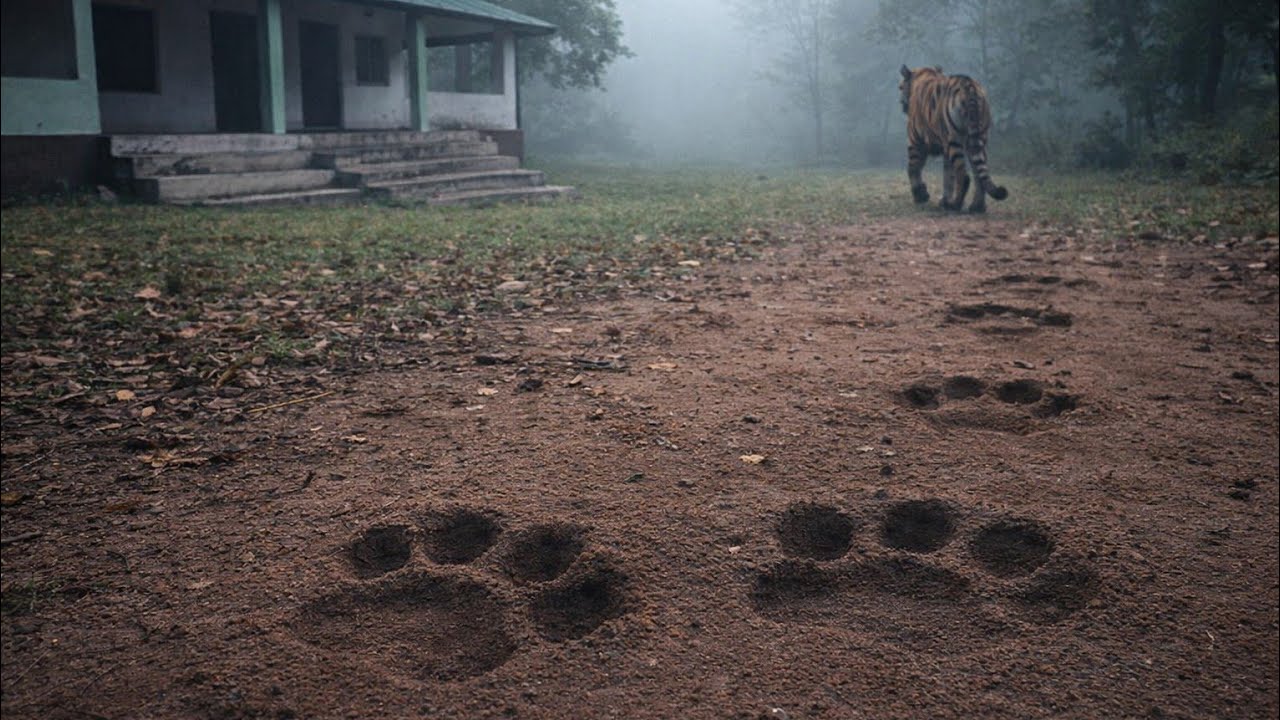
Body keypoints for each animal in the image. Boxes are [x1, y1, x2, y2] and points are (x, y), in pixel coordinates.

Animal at [898, 65, 1008, 213]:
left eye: (900, 87)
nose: (900, 103)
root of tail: (969, 85)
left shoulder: (915, 141)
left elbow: (913, 168)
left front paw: (921, 196)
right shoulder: (945, 149)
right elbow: (948, 176)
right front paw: (944, 199)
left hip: (954, 139)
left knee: (964, 175)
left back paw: (955, 205)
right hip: (978, 139)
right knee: (979, 174)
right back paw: (977, 207)